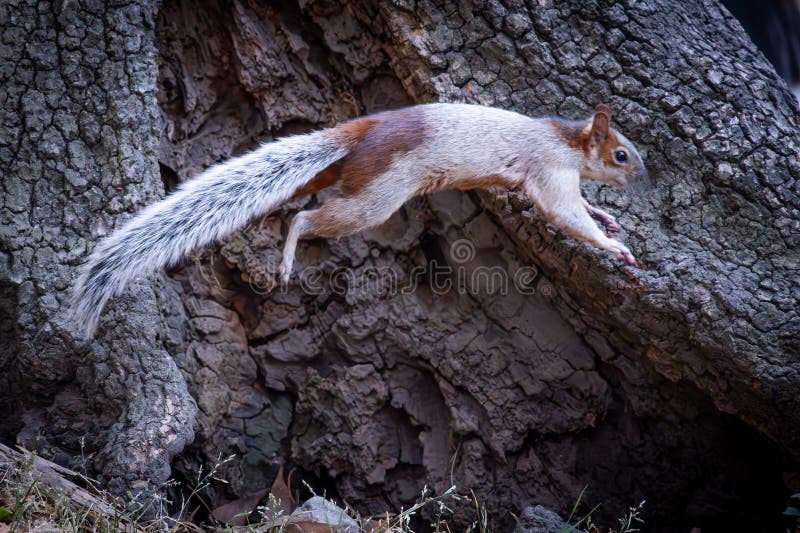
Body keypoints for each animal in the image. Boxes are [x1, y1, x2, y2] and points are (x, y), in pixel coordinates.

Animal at [70, 102, 647, 337]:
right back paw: (287, 259)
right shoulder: (549, 171)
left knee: (296, 196)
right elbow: (564, 214)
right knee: (304, 219)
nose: (642, 174)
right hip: (375, 197)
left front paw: (606, 216)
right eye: (621, 154)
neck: (568, 140)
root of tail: (361, 133)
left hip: (341, 179)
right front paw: (613, 247)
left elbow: (579, 210)